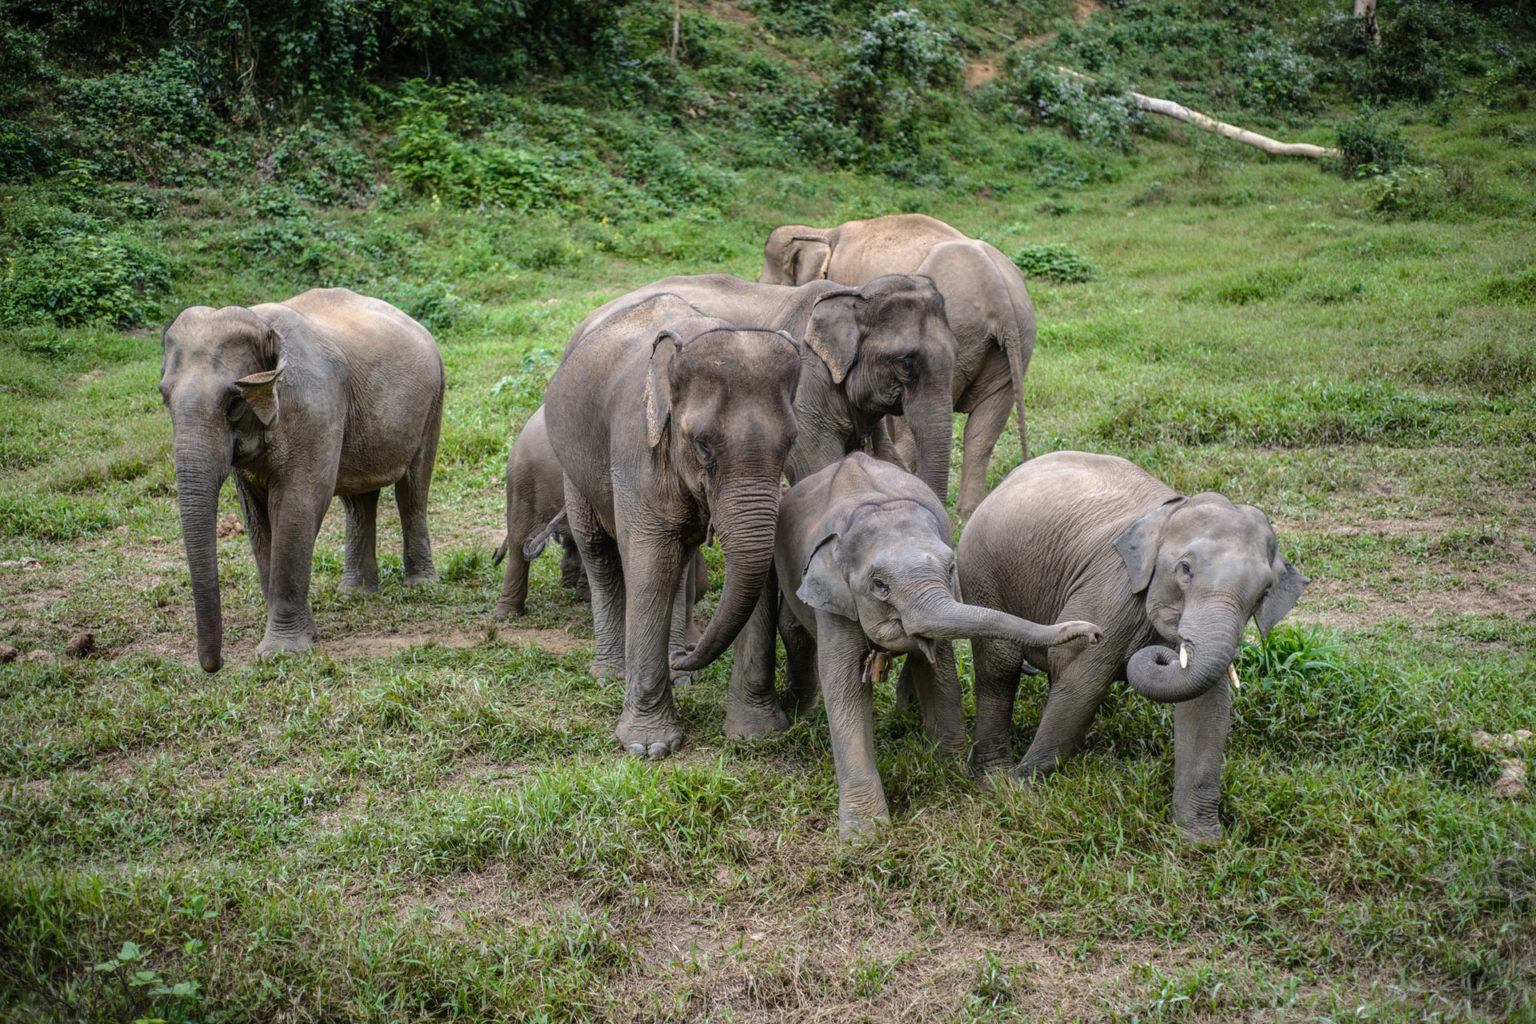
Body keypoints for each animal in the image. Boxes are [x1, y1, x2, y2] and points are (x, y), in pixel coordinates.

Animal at [159, 287, 444, 672]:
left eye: (234, 401)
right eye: (164, 397)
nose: (216, 665)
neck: (262, 325)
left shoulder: (316, 409)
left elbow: (298, 504)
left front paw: (282, 652)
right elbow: (256, 517)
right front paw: (299, 637)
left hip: (433, 401)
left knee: (413, 489)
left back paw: (420, 586)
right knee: (358, 500)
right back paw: (354, 594)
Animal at [545, 293, 802, 757]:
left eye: (791, 441)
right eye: (703, 445)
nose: (684, 656)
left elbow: (757, 572)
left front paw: (757, 735)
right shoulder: (636, 452)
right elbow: (649, 565)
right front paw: (648, 749)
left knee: (679, 563)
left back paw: (678, 674)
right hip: (573, 463)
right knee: (598, 548)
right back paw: (611, 674)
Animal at [744, 453, 1101, 838]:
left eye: (951, 568)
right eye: (879, 584)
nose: (1093, 632)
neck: (873, 507)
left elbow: (939, 670)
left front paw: (952, 778)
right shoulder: (835, 604)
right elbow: (844, 689)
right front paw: (864, 837)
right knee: (796, 631)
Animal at [956, 451, 1308, 841]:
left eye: (1264, 592)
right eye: (1185, 569)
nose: (1166, 651)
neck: (1170, 512)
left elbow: (1206, 709)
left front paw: (1200, 842)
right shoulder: (1113, 590)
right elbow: (1080, 682)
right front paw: (1020, 790)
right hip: (982, 569)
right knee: (999, 667)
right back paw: (993, 778)